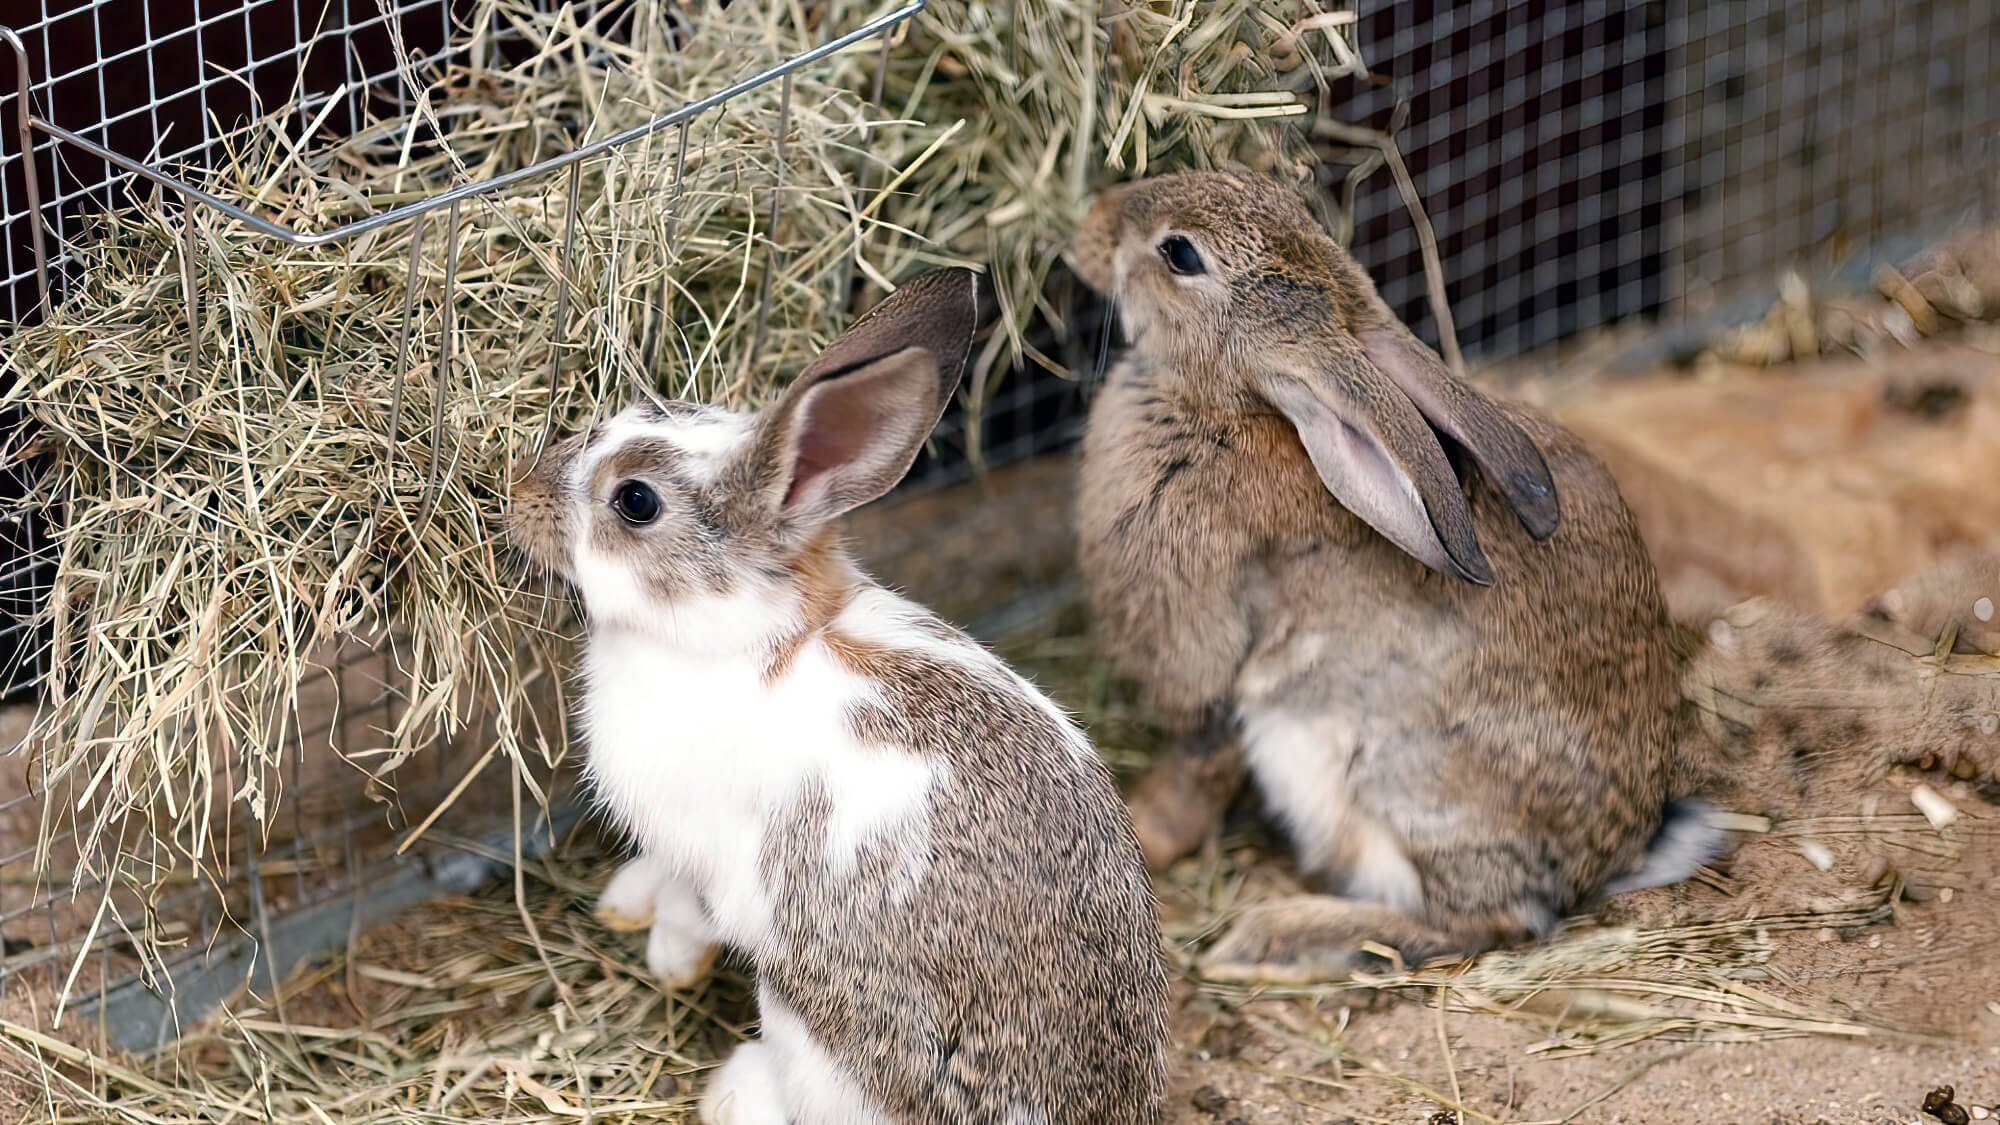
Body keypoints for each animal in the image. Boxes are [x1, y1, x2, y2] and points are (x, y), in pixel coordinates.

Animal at [507, 268, 1169, 1125]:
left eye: (636, 500)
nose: (515, 491)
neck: (741, 638)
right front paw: (626, 903)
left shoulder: (713, 851)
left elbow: (692, 903)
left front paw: (669, 958)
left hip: (810, 1025)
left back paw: (732, 1089)